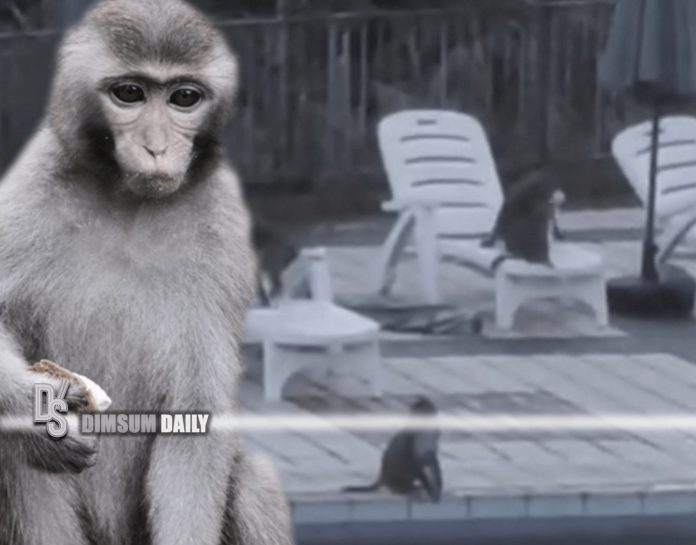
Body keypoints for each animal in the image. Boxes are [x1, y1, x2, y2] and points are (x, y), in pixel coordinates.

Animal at [0, 1, 294, 545]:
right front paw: (35, 417)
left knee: (252, 478)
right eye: (130, 93)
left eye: (184, 98)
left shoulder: (223, 229)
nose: (157, 148)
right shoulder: (27, 194)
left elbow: (196, 408)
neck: (129, 204)